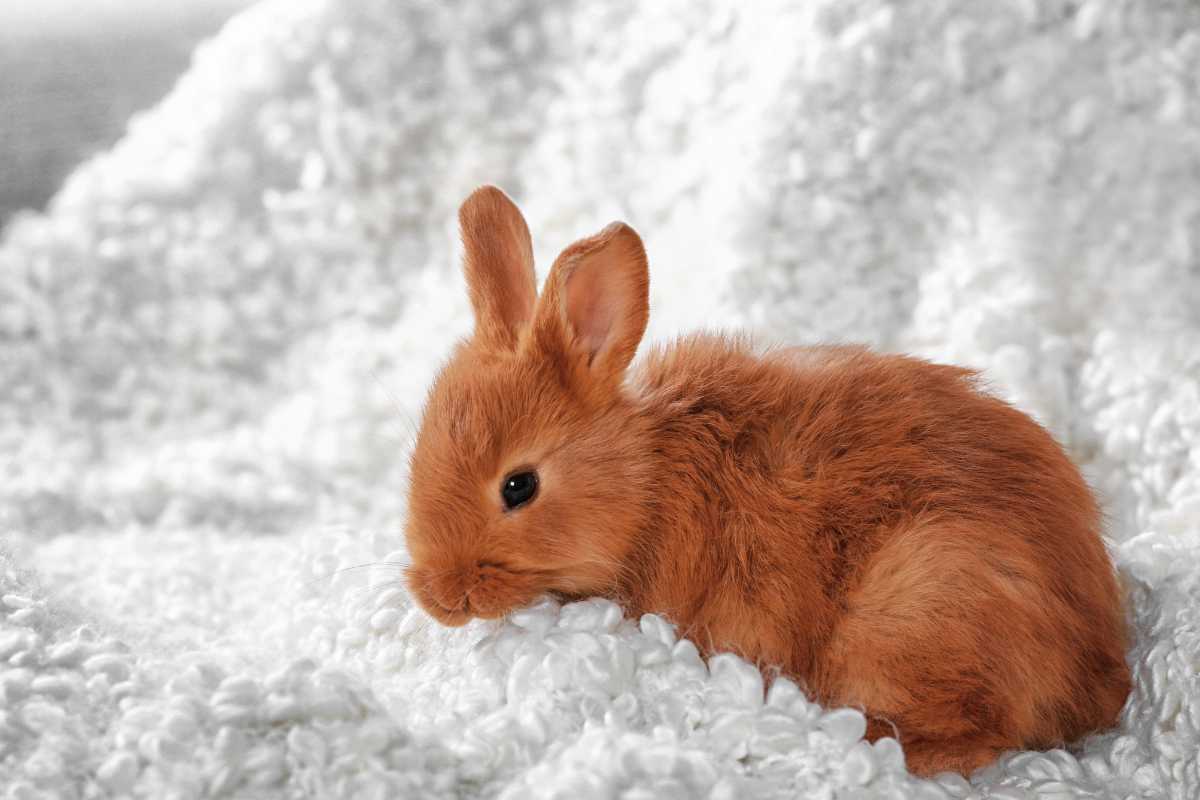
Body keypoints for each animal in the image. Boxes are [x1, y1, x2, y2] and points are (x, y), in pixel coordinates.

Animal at [403, 185, 1131, 777]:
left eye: (518, 487)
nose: (438, 596)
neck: (646, 480)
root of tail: (1099, 669)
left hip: (920, 600)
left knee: (975, 736)